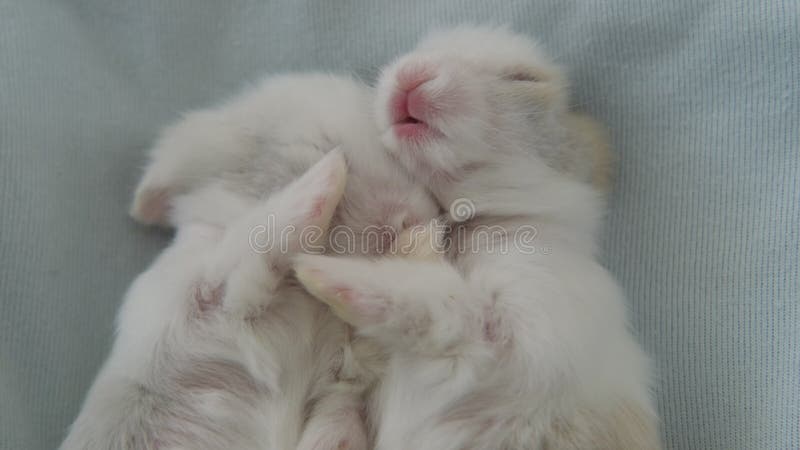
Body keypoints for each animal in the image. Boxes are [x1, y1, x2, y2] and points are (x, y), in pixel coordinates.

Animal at [294, 26, 661, 450]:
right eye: (422, 47)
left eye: (524, 78)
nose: (412, 74)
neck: (466, 224)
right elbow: (341, 410)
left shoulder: (518, 337)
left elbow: (443, 307)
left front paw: (321, 274)